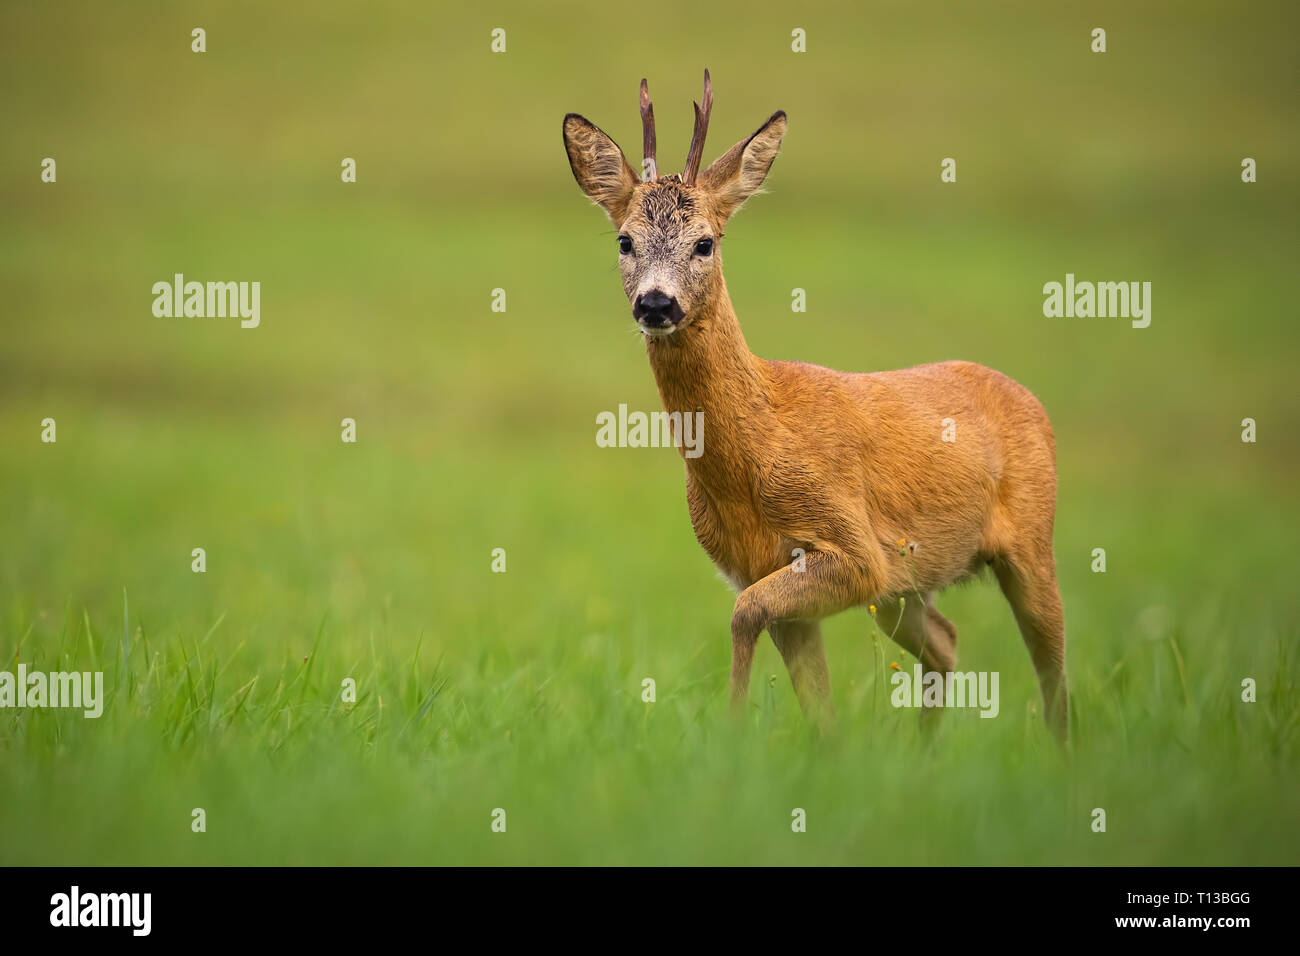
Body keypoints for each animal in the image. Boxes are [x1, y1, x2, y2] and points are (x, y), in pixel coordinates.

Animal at [562, 71, 1068, 742]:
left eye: (705, 243)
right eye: (624, 240)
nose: (656, 303)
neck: (752, 456)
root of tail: (1027, 396)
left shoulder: (854, 547)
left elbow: (742, 614)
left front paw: (730, 729)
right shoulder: (766, 568)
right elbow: (813, 699)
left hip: (1032, 542)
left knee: (1053, 666)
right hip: (908, 589)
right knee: (946, 639)